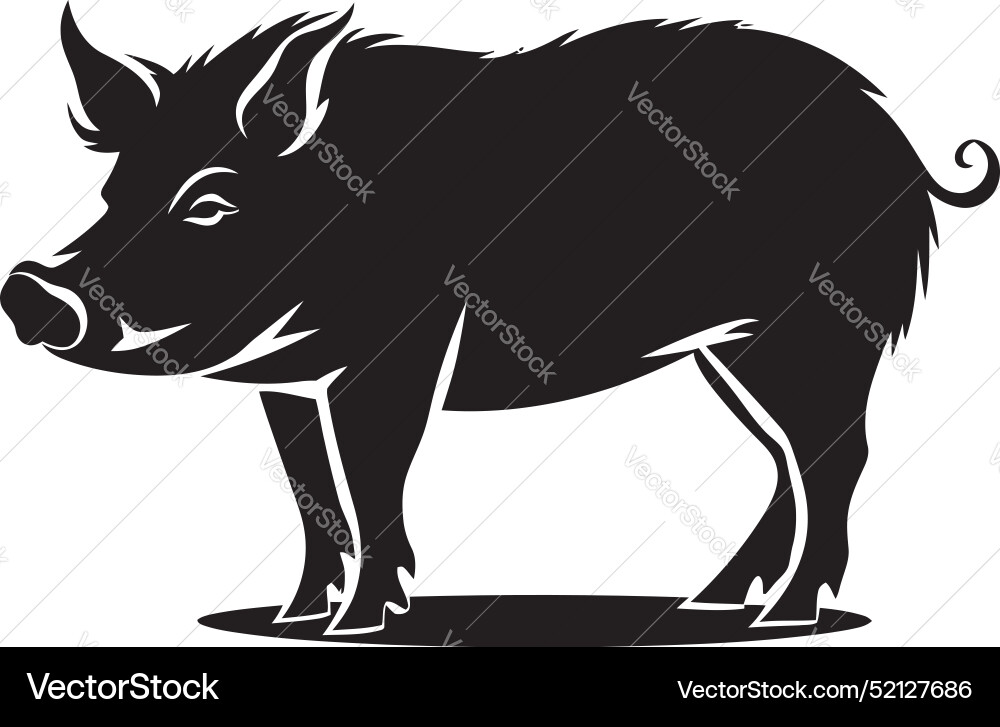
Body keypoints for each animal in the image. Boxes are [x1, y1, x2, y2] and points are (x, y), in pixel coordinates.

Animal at [2, 4, 996, 634]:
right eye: (113, 194)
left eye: (210, 202)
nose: (30, 288)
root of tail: (907, 149)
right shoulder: (289, 378)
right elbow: (309, 489)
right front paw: (296, 616)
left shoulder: (399, 345)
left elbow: (372, 480)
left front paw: (354, 625)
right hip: (729, 350)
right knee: (791, 459)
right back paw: (711, 603)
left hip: (812, 327)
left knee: (836, 453)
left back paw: (780, 617)